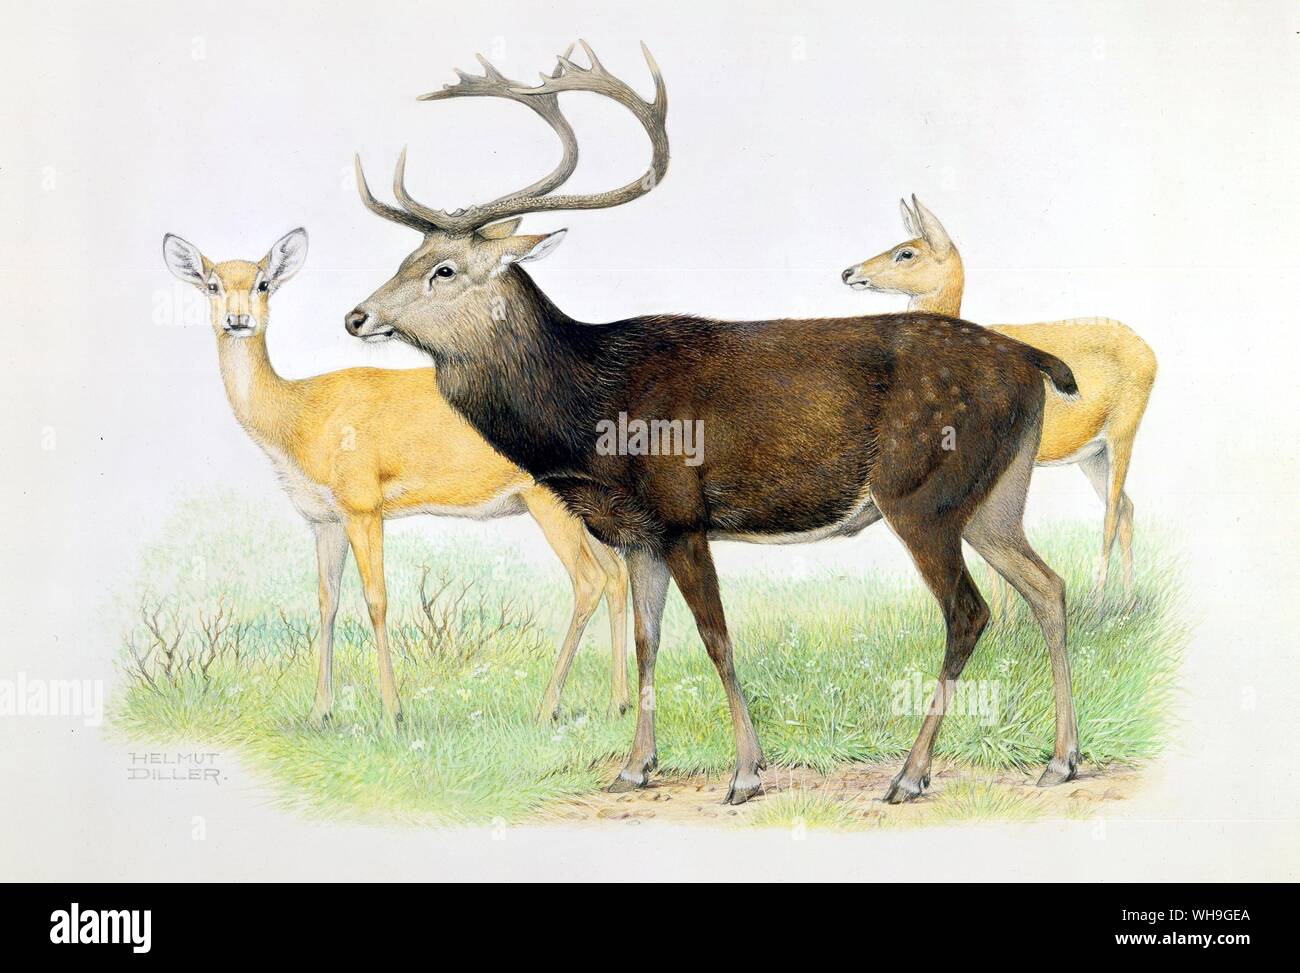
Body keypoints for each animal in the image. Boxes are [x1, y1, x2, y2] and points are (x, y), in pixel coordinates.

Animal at [161, 227, 630, 730]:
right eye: (211, 285)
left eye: (264, 283)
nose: (238, 319)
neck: (301, 416)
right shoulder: (324, 520)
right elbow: (327, 600)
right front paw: (320, 712)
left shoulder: (363, 507)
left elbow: (376, 599)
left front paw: (392, 713)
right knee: (617, 572)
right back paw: (617, 704)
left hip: (548, 503)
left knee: (589, 580)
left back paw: (548, 709)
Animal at [344, 42, 1083, 805]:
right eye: (404, 259)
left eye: (443, 269)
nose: (356, 316)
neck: (592, 409)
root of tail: (1033, 360)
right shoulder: (637, 531)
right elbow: (650, 640)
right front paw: (635, 765)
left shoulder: (682, 513)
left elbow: (716, 637)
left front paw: (746, 773)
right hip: (995, 494)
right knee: (1048, 587)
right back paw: (1060, 759)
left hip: (921, 491)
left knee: (970, 610)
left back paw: (911, 774)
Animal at [841, 197, 1158, 608]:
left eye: (906, 252)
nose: (849, 272)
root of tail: (1150, 354)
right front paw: (1007, 617)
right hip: (1091, 454)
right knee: (1125, 508)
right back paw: (1127, 599)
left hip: (1123, 432)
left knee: (1111, 511)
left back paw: (1100, 598)